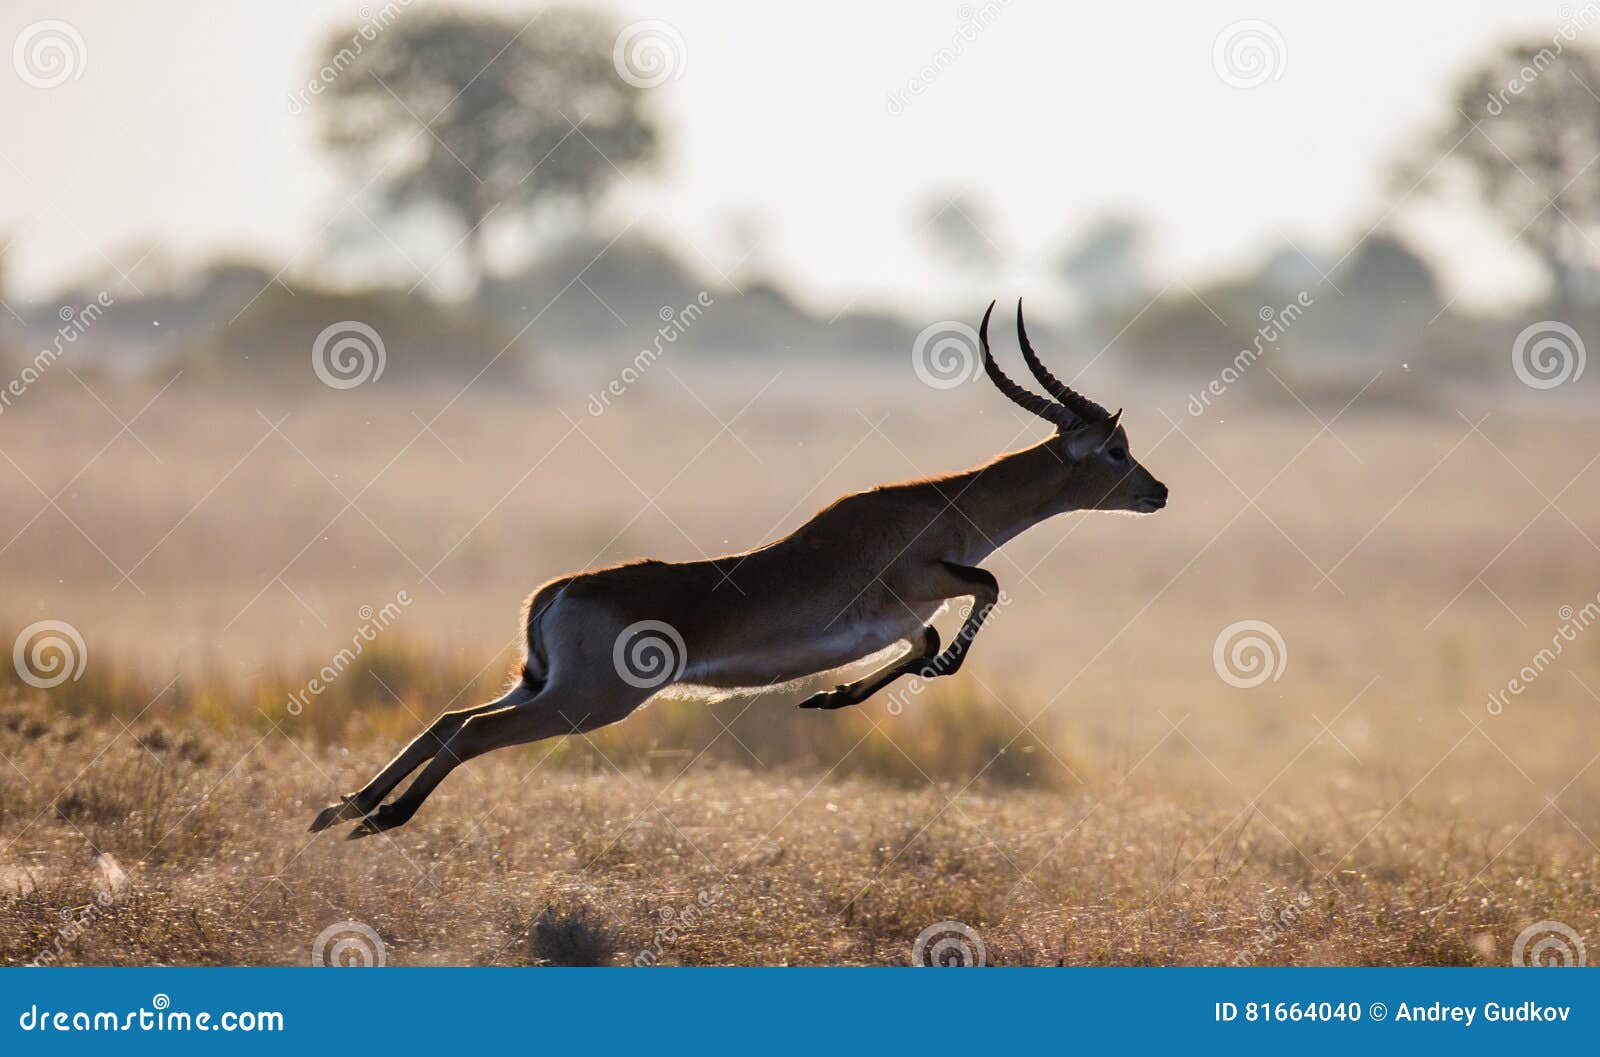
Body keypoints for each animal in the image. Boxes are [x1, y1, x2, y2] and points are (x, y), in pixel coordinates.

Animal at [312, 300, 1169, 837]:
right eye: (1115, 449)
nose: (1158, 491)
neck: (940, 504)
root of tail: (556, 591)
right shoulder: (923, 582)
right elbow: (979, 599)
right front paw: (839, 693)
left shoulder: (903, 619)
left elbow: (924, 649)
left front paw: (828, 697)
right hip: (586, 703)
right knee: (472, 731)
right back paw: (379, 818)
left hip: (539, 683)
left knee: (447, 718)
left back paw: (341, 807)